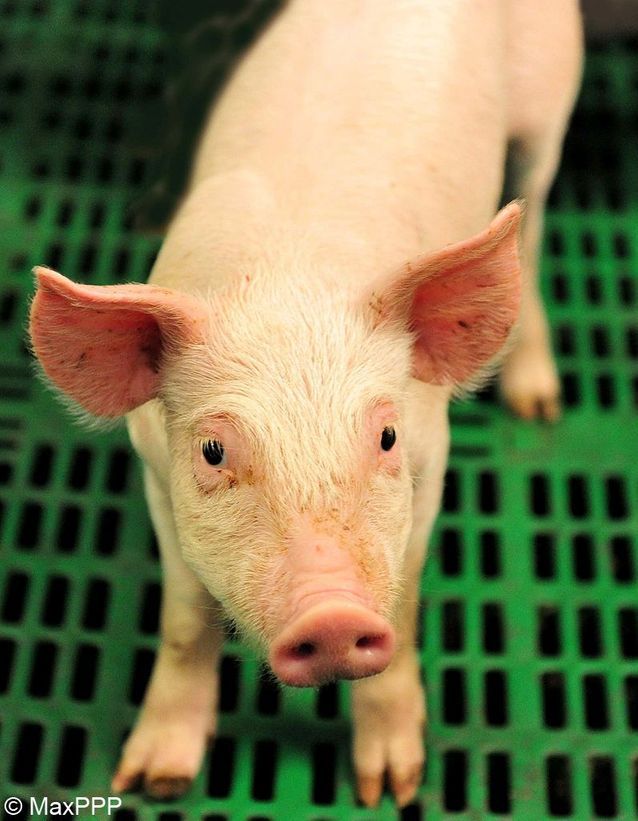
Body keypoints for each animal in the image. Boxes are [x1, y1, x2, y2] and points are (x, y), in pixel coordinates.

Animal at [29, 0, 583, 808]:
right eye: (214, 451)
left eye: (385, 437)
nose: (334, 612)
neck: (285, 272)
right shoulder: (153, 467)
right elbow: (185, 618)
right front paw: (156, 780)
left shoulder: (435, 452)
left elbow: (405, 603)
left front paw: (392, 790)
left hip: (547, 96)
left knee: (536, 220)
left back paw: (538, 405)